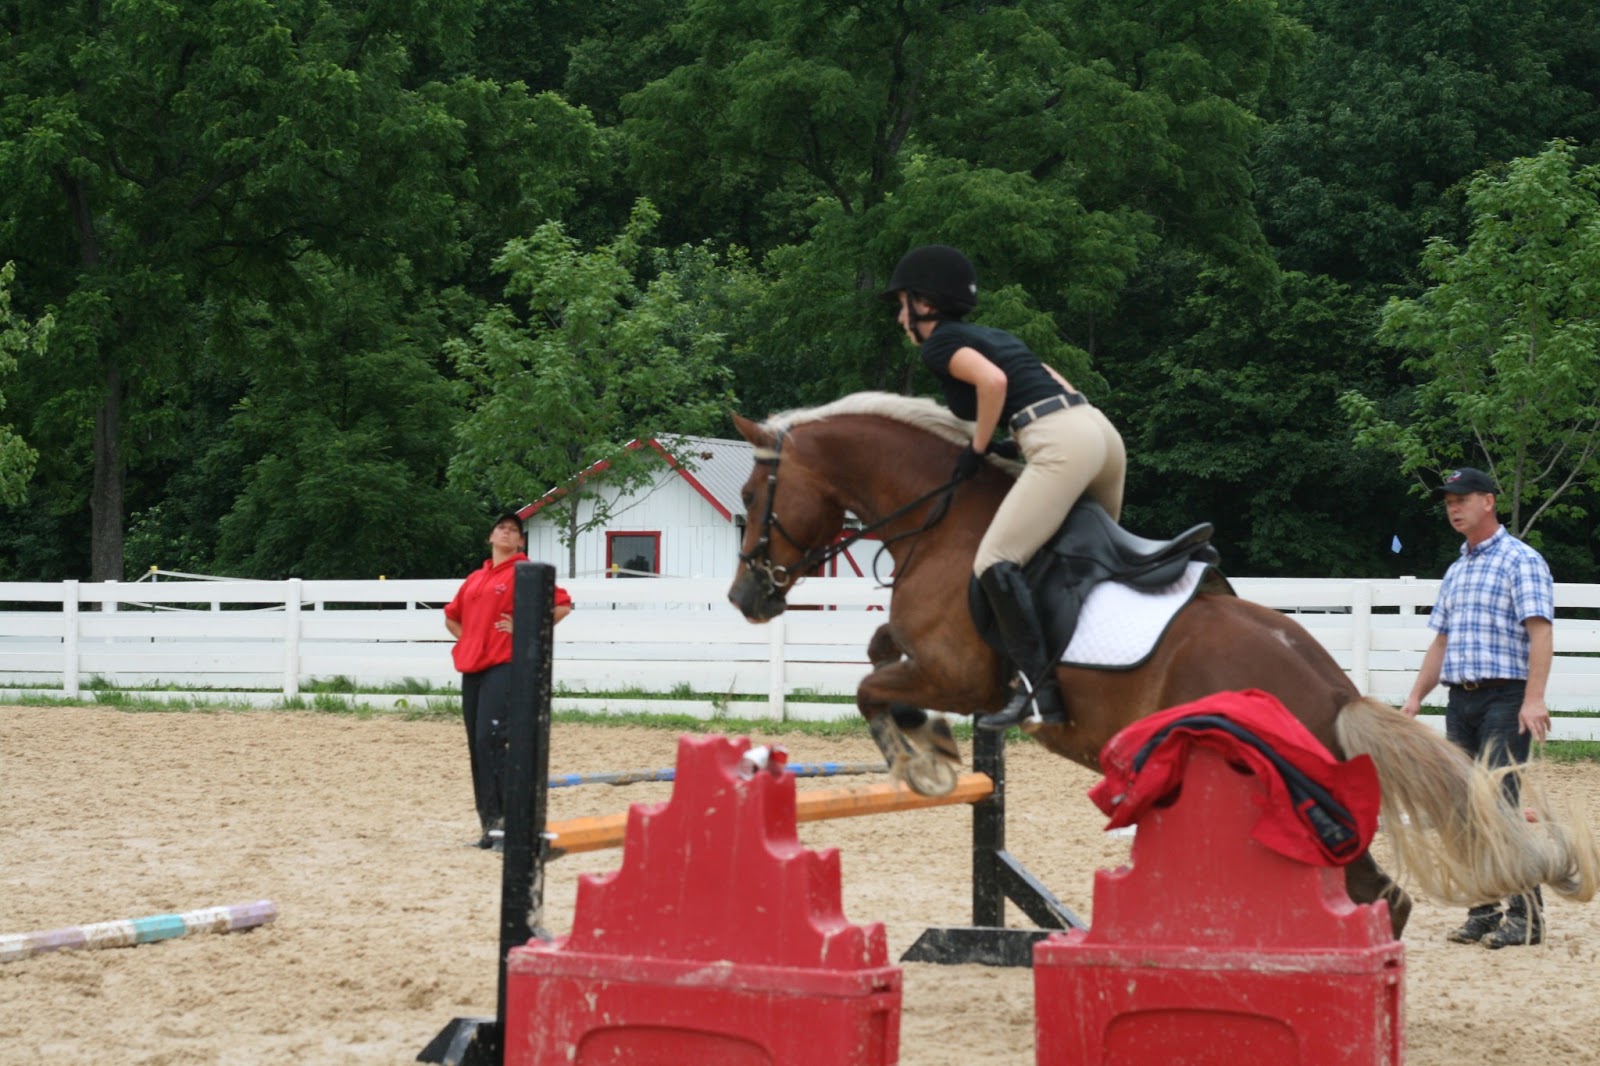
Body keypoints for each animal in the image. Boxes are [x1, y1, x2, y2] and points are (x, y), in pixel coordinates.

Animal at [726, 391, 1599, 937]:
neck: (942, 519)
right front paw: (929, 742)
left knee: (1380, 898)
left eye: (748, 499)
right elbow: (878, 656)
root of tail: (1334, 693)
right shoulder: (929, 658)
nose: (744, 595)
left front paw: (927, 760)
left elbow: (873, 688)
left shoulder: (958, 672)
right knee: (1376, 899)